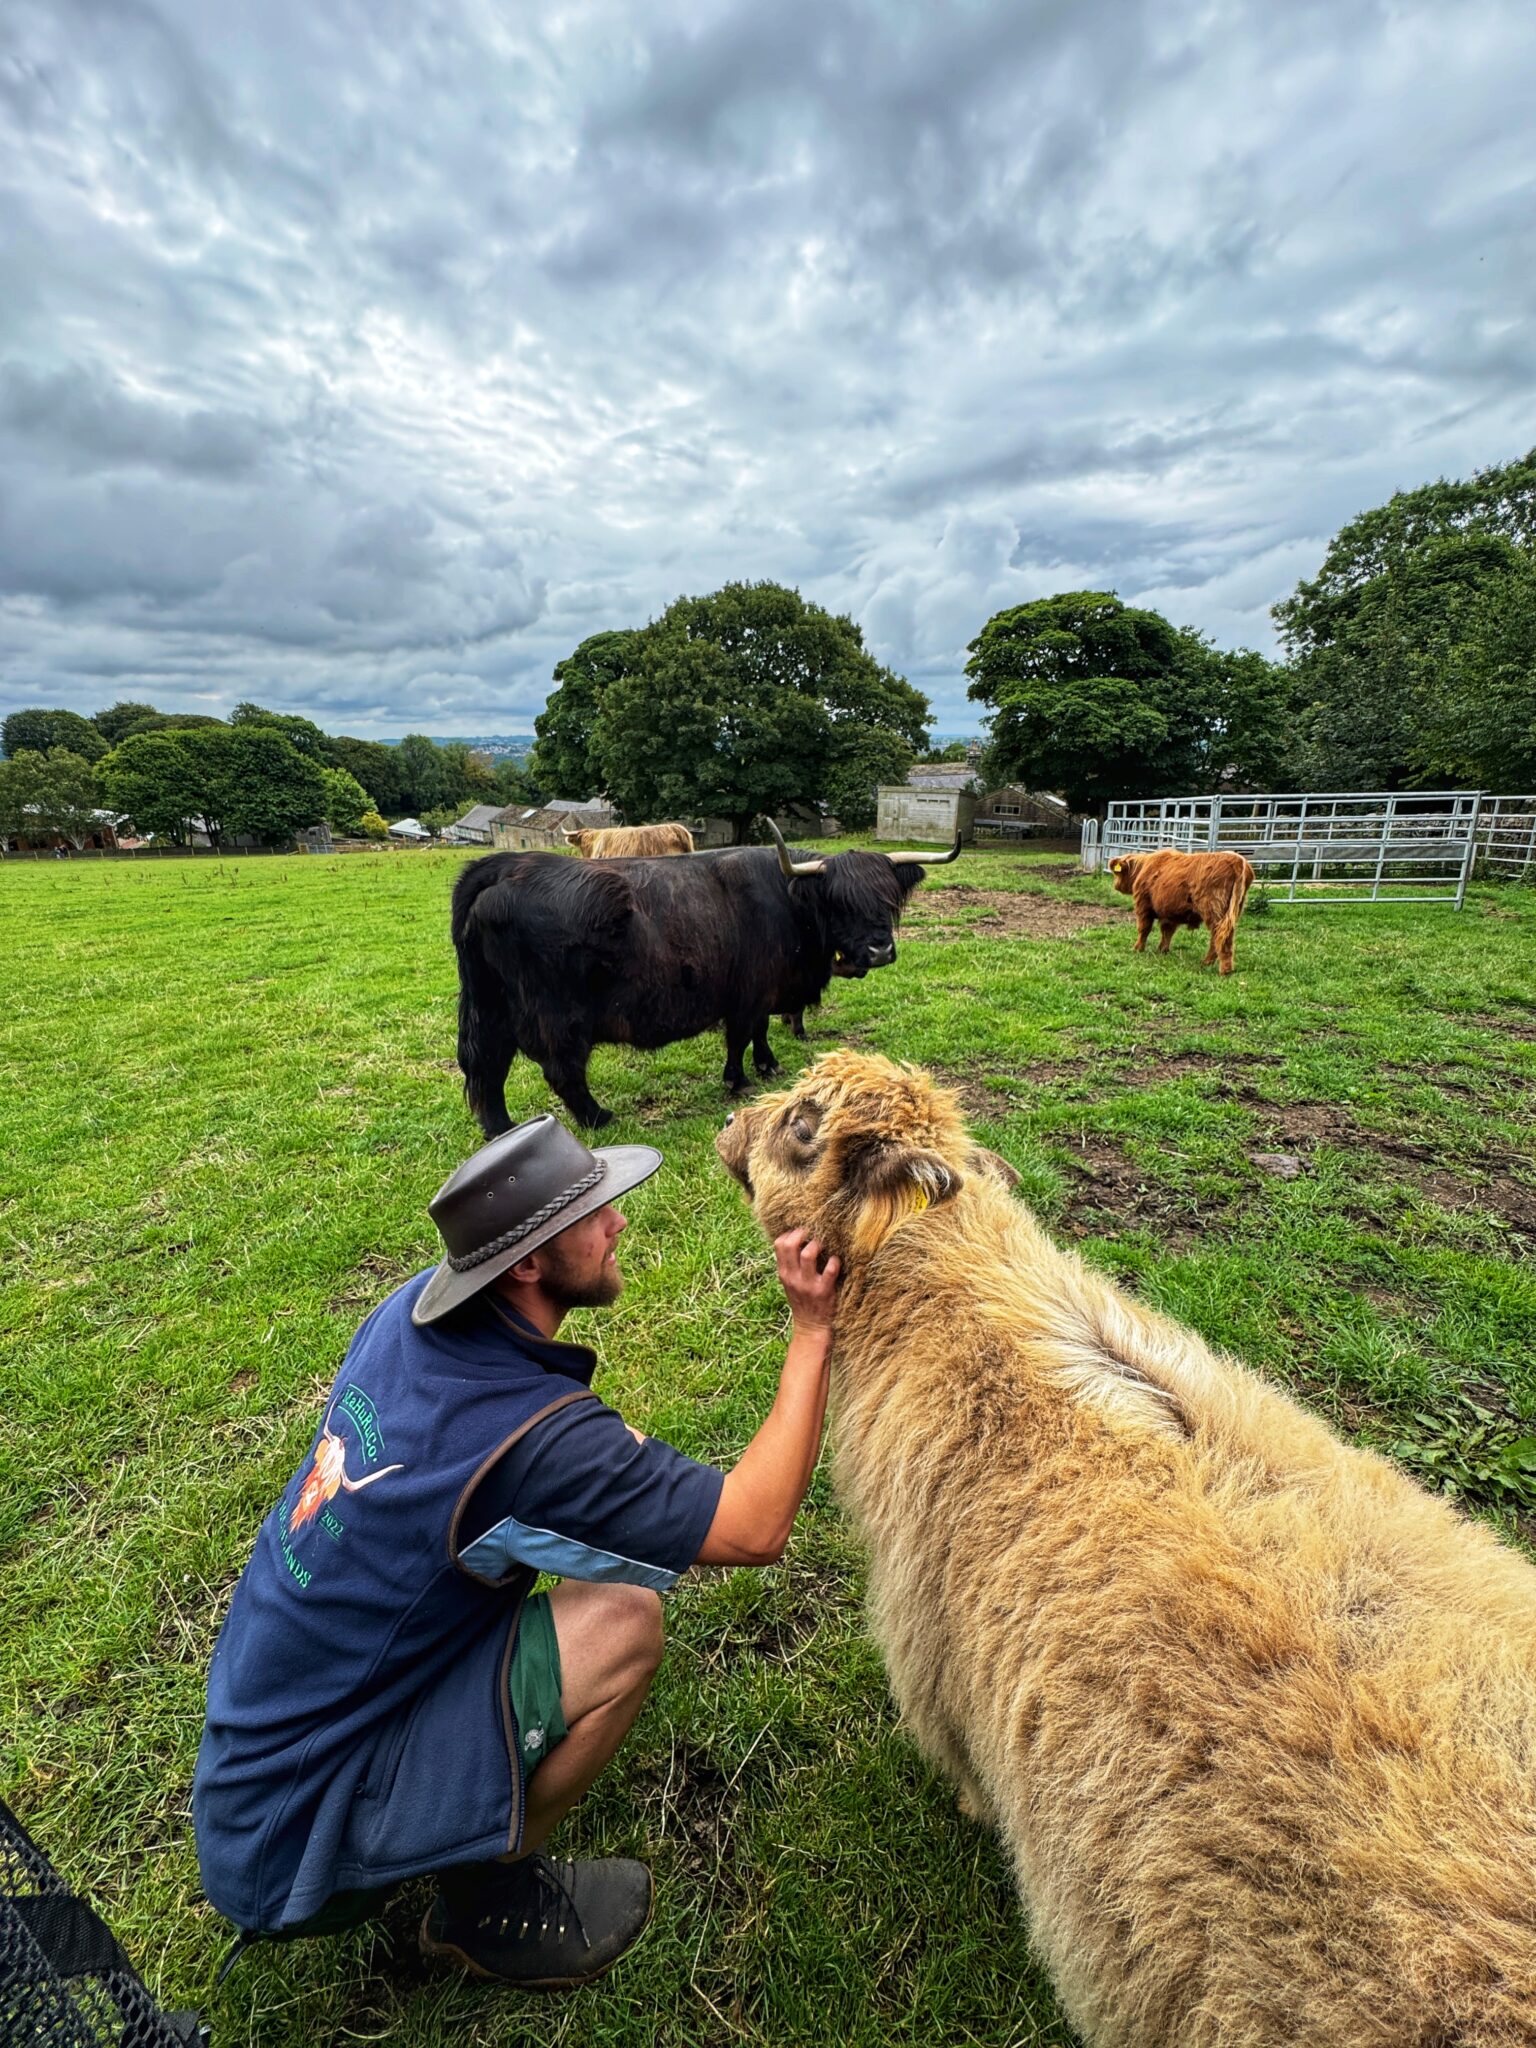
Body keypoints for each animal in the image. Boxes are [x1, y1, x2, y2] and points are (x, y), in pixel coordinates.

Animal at [1109, 847, 1255, 974]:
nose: (1115, 886)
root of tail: (1237, 860)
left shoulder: (1143, 905)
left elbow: (1144, 929)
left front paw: (1137, 948)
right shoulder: (1170, 912)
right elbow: (1167, 931)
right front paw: (1162, 950)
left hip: (1214, 908)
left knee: (1220, 935)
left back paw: (1222, 969)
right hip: (1234, 909)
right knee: (1221, 936)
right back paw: (1208, 963)